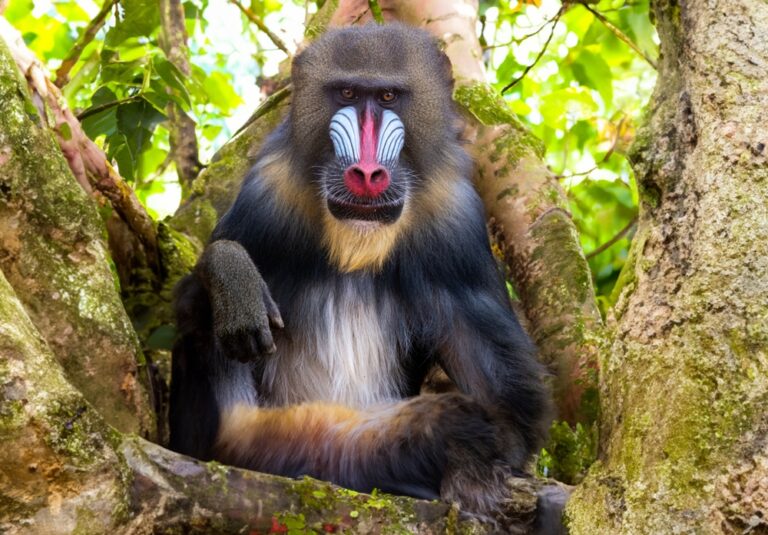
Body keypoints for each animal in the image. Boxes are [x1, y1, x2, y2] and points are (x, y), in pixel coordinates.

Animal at [169, 23, 551, 516]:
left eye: (388, 96)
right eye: (347, 93)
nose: (367, 174)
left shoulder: (457, 216)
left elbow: (507, 410)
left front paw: (473, 472)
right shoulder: (267, 192)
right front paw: (231, 275)